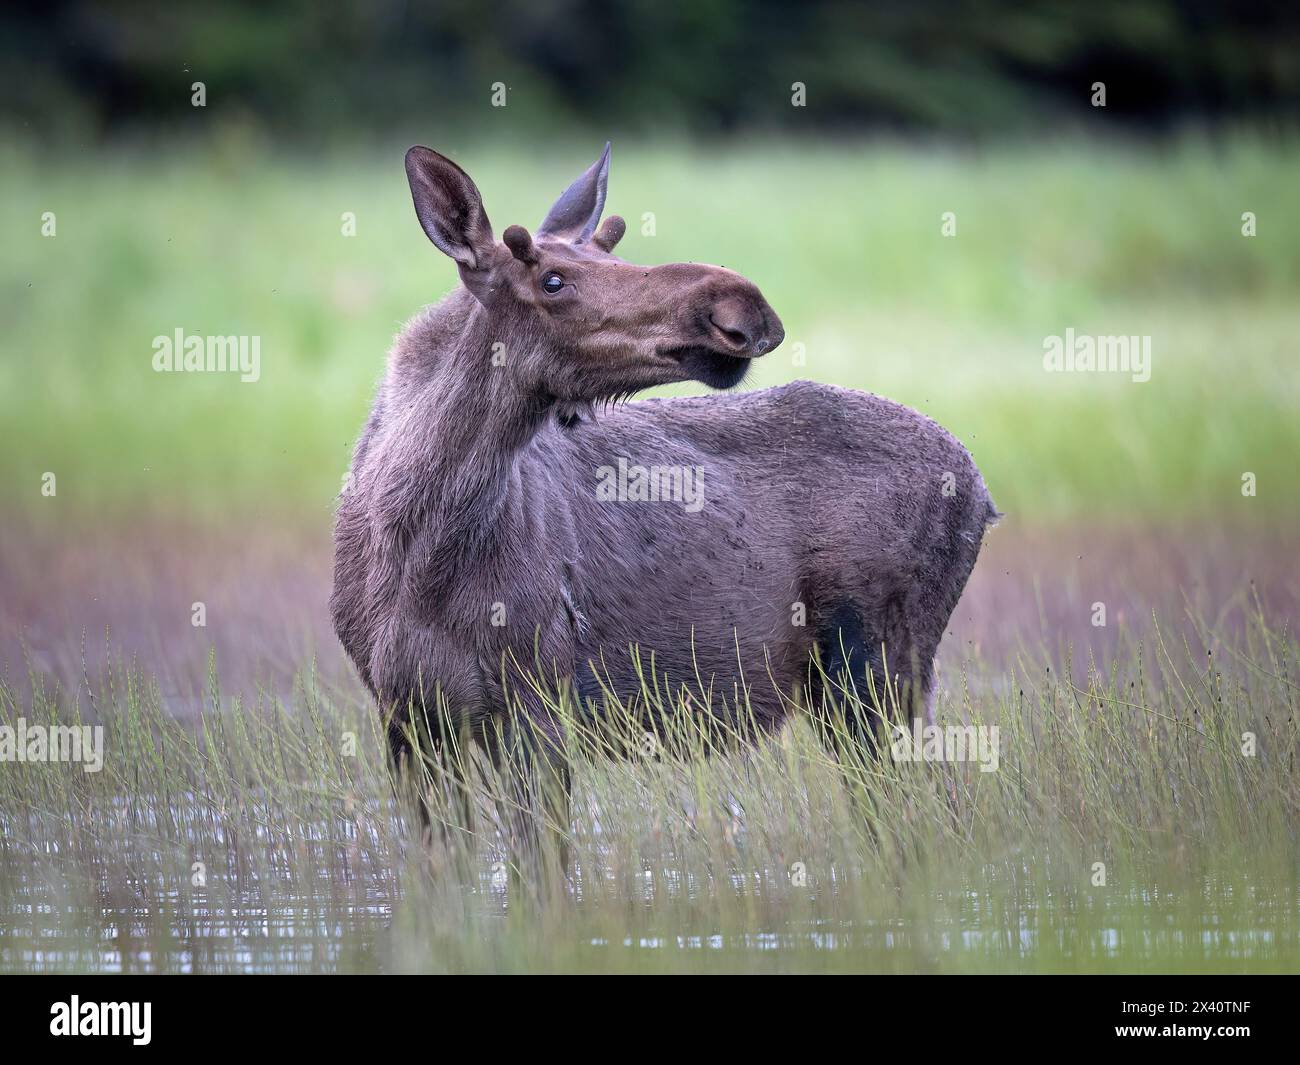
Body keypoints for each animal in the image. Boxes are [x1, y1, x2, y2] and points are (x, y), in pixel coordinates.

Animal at [330, 144, 997, 877]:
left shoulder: (539, 700)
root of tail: (980, 490)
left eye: (611, 253)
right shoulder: (406, 716)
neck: (418, 543)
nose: (741, 304)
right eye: (553, 280)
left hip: (879, 668)